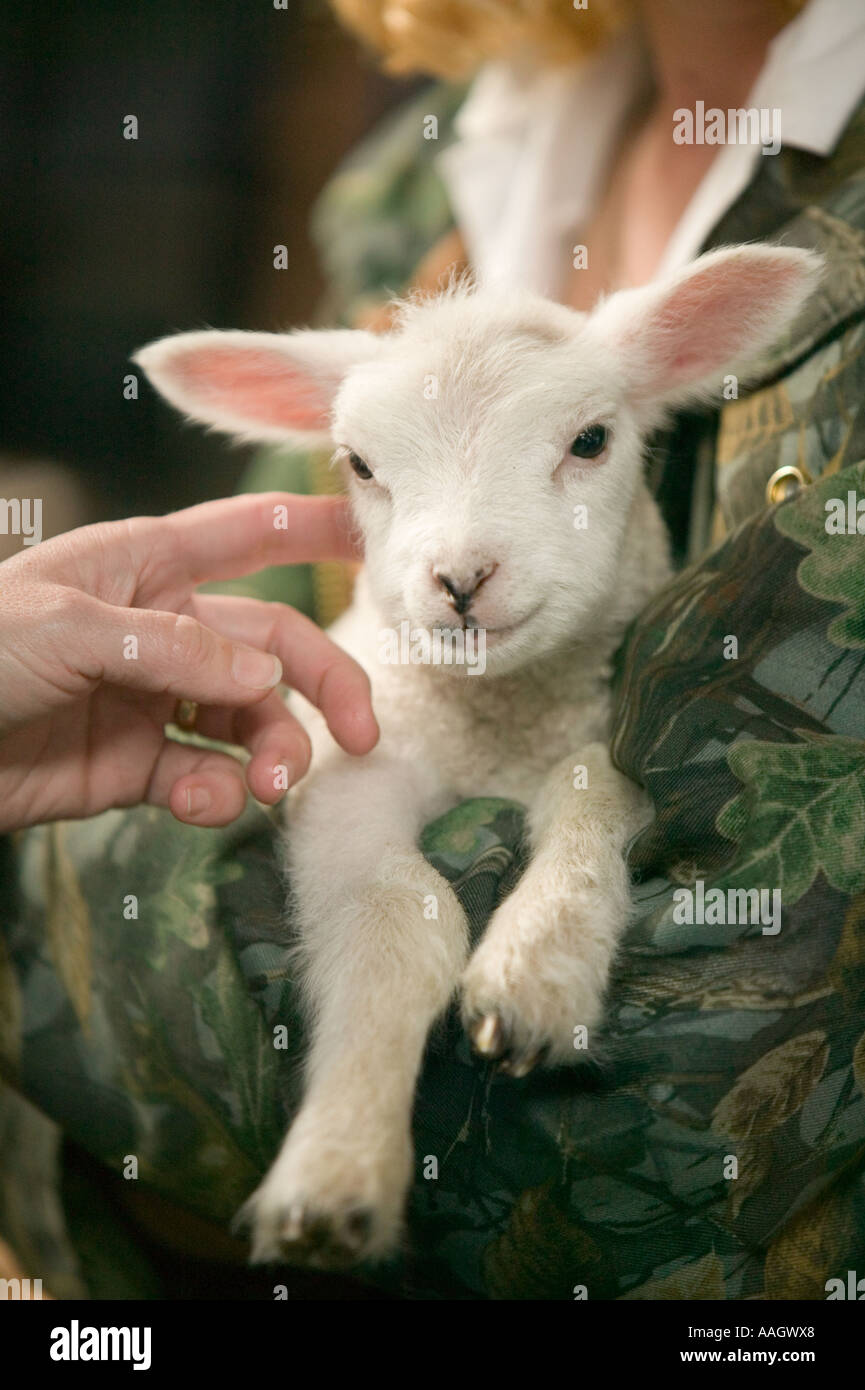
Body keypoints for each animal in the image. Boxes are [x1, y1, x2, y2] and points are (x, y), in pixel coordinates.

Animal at [136, 243, 821, 1268]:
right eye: (360, 464)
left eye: (590, 441)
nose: (460, 579)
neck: (490, 725)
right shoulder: (354, 756)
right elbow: (395, 920)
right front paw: (335, 1174)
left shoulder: (591, 737)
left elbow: (591, 804)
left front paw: (535, 976)